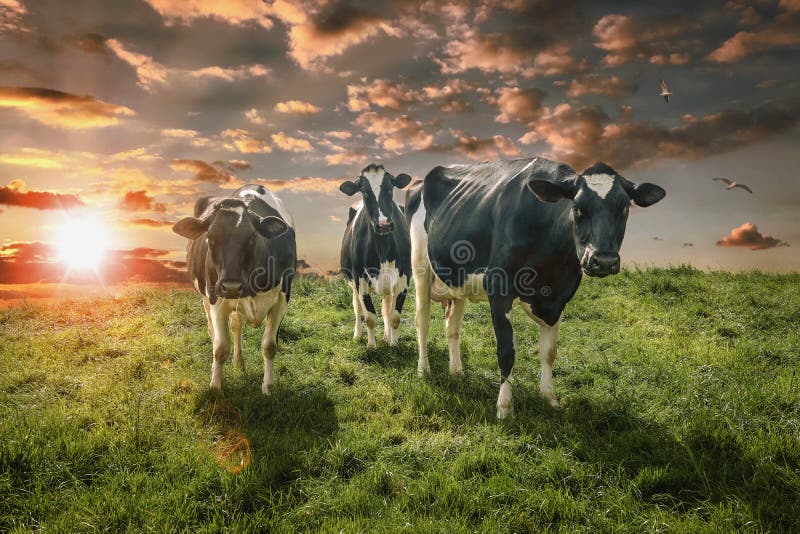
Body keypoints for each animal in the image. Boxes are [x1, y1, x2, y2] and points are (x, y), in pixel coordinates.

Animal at [172, 184, 296, 394]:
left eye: (252, 238)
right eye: (210, 238)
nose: (231, 285)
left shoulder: (282, 299)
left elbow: (269, 346)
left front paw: (268, 387)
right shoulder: (217, 299)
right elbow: (221, 348)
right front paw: (215, 387)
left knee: (236, 325)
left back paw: (239, 362)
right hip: (206, 298)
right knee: (213, 331)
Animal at [340, 164, 412, 348]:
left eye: (390, 189)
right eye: (365, 192)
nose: (384, 224)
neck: (383, 248)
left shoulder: (404, 277)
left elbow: (394, 316)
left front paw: (394, 343)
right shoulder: (360, 278)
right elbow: (370, 317)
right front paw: (371, 346)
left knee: (386, 305)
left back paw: (388, 336)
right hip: (352, 280)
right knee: (357, 307)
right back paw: (358, 335)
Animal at [406, 157, 665, 418]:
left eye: (624, 207)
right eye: (577, 208)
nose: (603, 261)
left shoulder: (558, 297)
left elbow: (549, 352)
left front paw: (549, 398)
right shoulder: (498, 286)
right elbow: (506, 351)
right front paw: (504, 407)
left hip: (458, 281)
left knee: (453, 327)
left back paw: (457, 372)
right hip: (420, 266)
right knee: (422, 321)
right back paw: (423, 370)